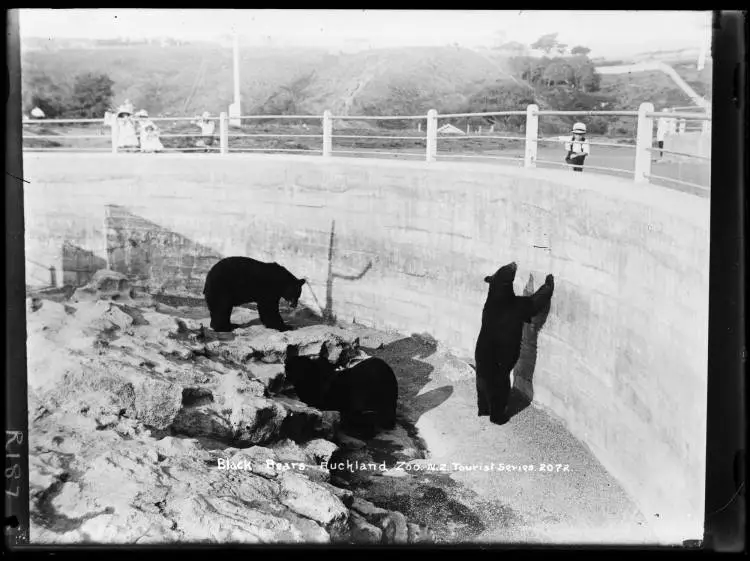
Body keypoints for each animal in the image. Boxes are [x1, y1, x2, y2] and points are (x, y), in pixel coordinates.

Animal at [475, 261, 554, 425]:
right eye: (506, 267)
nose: (514, 262)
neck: (499, 294)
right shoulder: (515, 307)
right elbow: (533, 303)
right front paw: (549, 279)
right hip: (500, 379)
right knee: (499, 398)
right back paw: (500, 418)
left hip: (479, 383)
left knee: (481, 398)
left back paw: (482, 412)